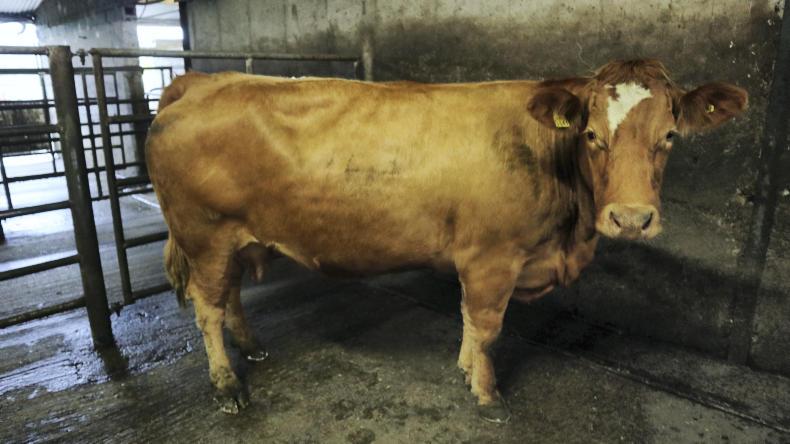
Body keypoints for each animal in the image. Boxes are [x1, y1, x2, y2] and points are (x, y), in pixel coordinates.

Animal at [145, 60, 747, 422]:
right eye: (592, 135)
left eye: (670, 137)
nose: (631, 218)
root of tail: (202, 78)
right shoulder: (492, 257)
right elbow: (487, 325)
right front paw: (486, 393)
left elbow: (467, 320)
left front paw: (464, 368)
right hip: (205, 233)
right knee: (206, 307)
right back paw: (228, 385)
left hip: (230, 238)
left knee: (229, 294)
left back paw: (251, 346)